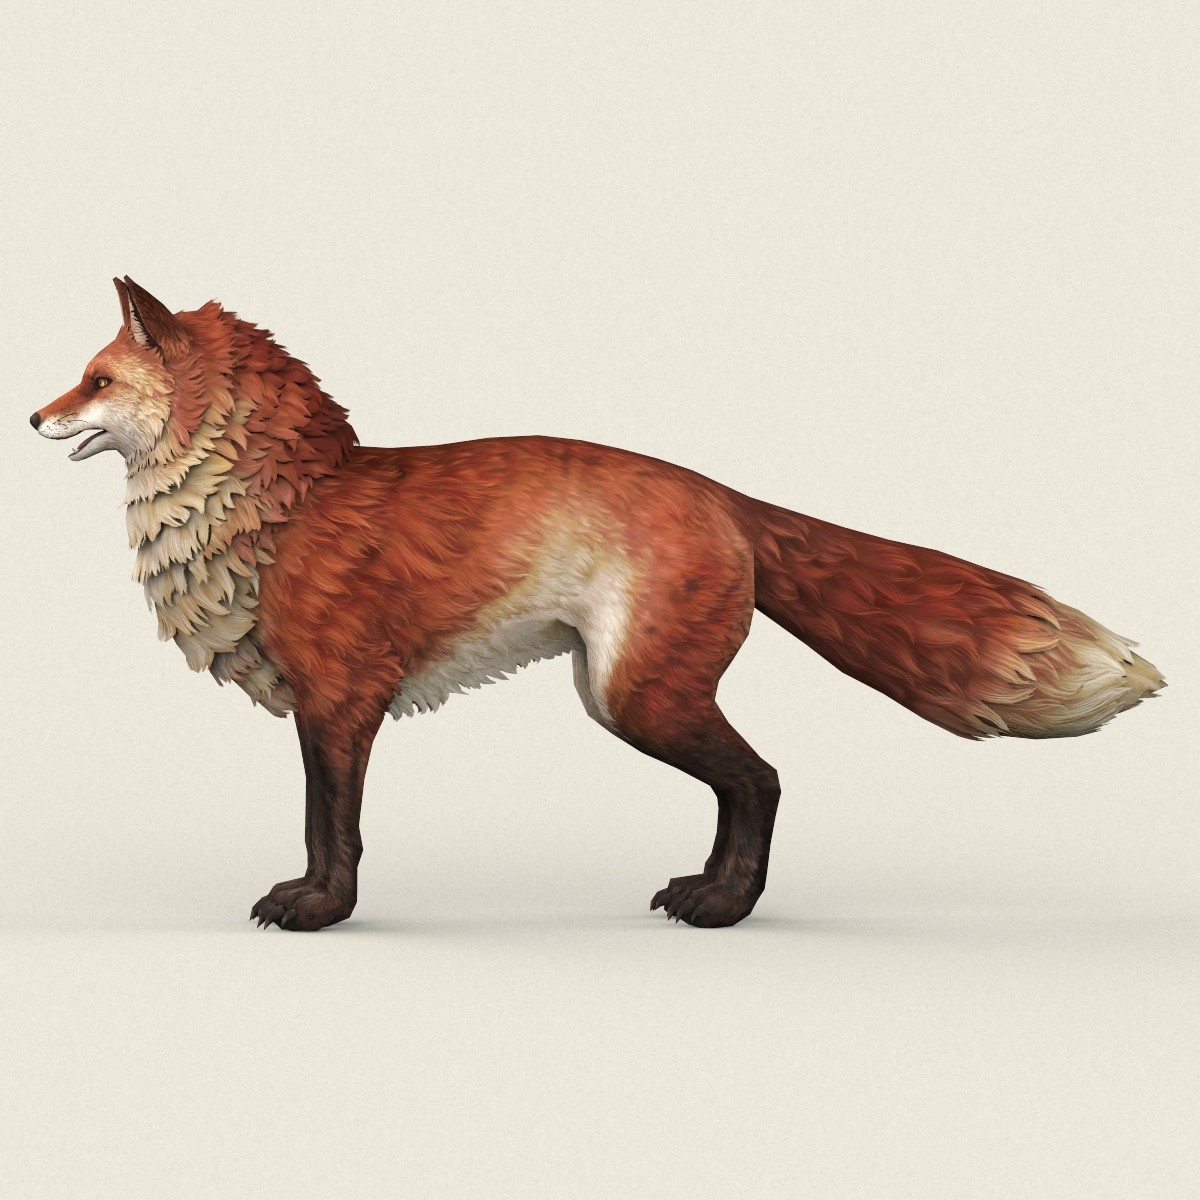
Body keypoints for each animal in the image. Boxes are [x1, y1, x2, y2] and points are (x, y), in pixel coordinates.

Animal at [31, 278, 1165, 931]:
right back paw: (712, 891)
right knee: (748, 783)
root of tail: (720, 493)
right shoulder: (327, 701)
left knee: (762, 779)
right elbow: (324, 822)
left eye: (94, 381)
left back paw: (725, 906)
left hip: (636, 696)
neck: (281, 508)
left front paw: (321, 911)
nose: (33, 415)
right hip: (626, 689)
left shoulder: (339, 697)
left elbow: (331, 827)